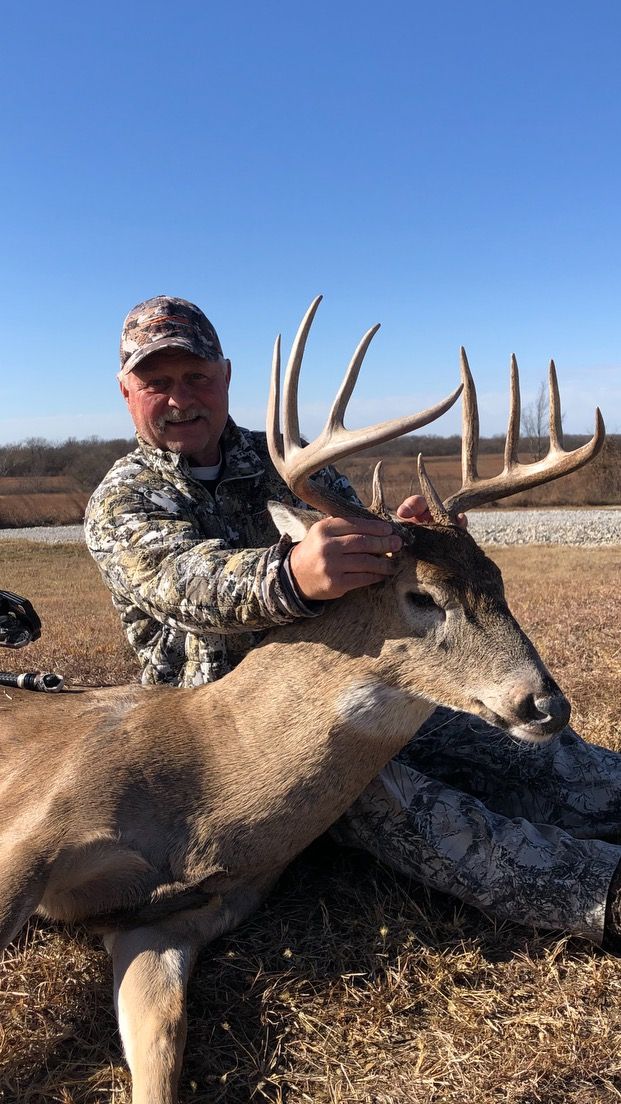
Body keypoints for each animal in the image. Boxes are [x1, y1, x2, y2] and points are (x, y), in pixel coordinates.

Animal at [0, 297, 604, 1104]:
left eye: (500, 581)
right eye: (422, 595)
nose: (545, 706)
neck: (208, 778)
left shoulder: (170, 921)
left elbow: (162, 1054)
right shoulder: (34, 826)